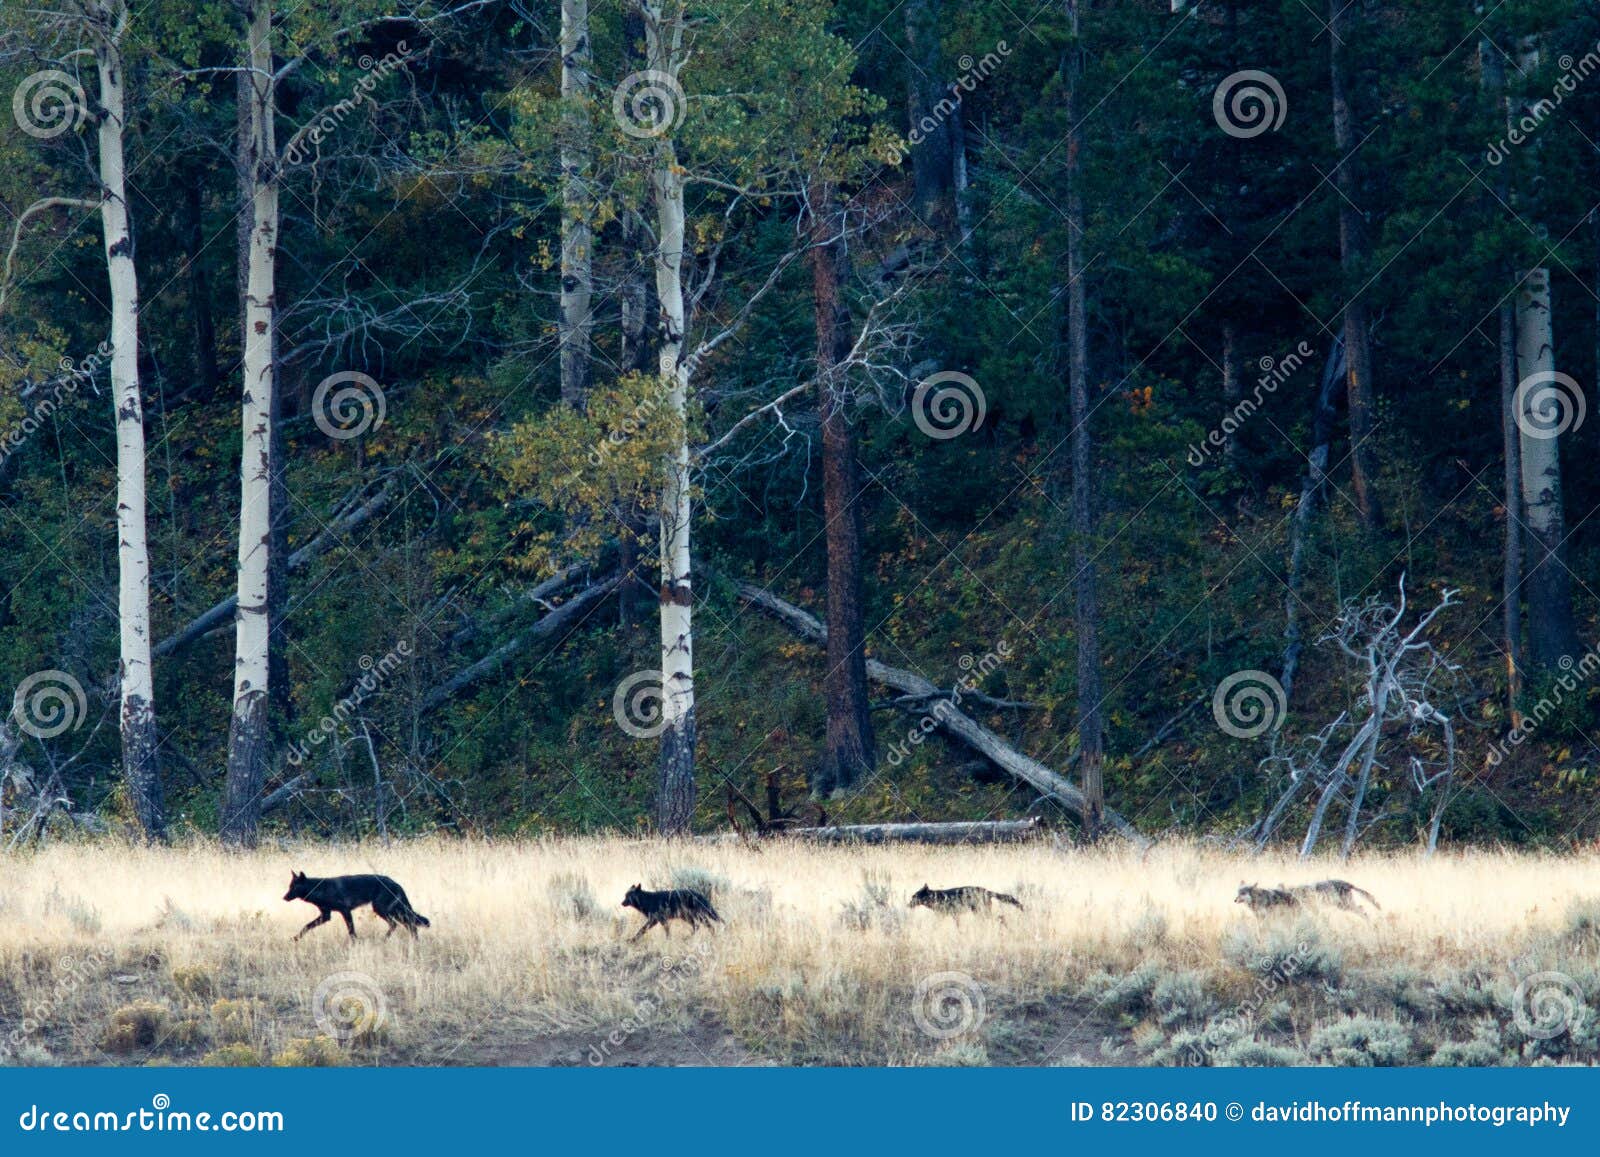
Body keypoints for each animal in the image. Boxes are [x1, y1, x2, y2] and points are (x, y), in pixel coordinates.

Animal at [283, 871, 431, 940]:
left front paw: (355, 944)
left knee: (399, 924)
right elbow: (306, 926)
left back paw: (385, 939)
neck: (320, 889)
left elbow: (351, 931)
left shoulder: (345, 911)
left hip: (383, 910)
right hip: (392, 911)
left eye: (293, 887)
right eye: (289, 886)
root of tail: (395, 883)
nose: (284, 898)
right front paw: (296, 938)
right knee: (408, 924)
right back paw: (413, 941)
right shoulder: (326, 916)